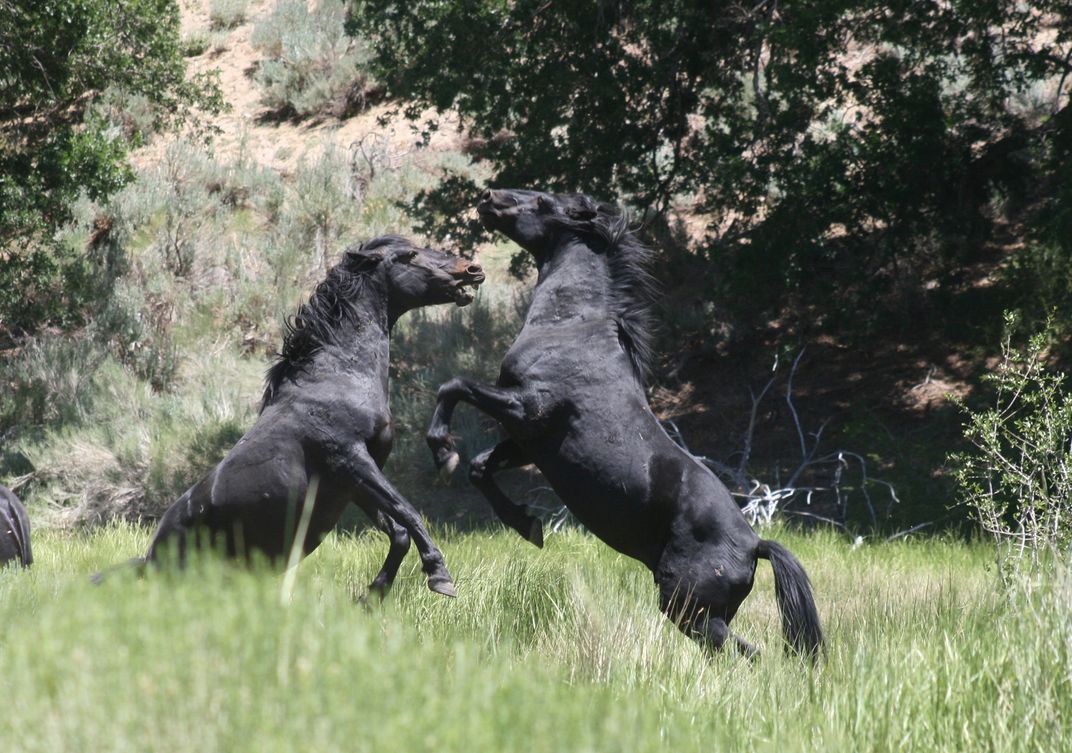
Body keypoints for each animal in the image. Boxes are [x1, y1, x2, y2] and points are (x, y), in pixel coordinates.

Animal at [139, 235, 484, 597]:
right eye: (409, 255)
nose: (472, 269)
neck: (338, 376)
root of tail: (149, 557)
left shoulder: (353, 481)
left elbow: (399, 531)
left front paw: (373, 595)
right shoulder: (350, 459)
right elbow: (409, 511)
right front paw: (440, 575)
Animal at [427, 189, 823, 657]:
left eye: (543, 202)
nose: (489, 198)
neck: (571, 327)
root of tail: (755, 545)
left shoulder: (527, 408)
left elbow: (453, 387)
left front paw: (443, 452)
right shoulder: (529, 441)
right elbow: (479, 466)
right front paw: (528, 526)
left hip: (686, 607)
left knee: (746, 653)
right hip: (700, 614)